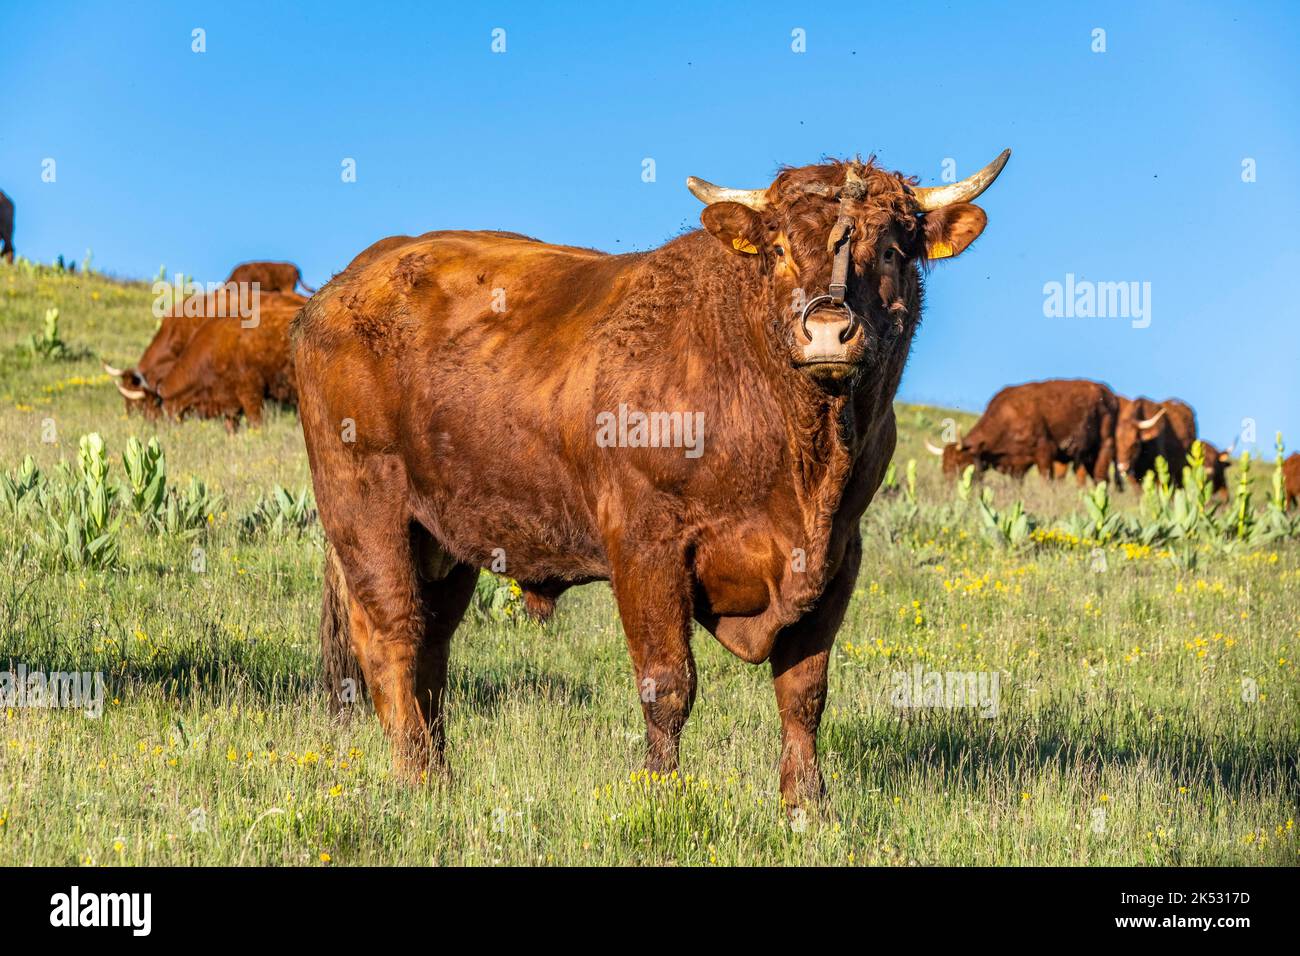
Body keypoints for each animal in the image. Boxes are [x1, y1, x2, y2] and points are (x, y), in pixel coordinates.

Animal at [291, 148, 1011, 808]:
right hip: (367, 513)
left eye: (890, 249)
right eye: (778, 248)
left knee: (433, 647)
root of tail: (340, 288)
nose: (829, 331)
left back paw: (443, 774)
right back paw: (418, 778)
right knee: (392, 636)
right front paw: (662, 794)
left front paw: (807, 806)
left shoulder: (837, 554)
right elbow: (668, 684)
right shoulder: (646, 545)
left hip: (444, 538)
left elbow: (804, 692)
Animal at [926, 379, 1118, 483]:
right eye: (944, 467)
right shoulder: (1017, 464)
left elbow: (1046, 480)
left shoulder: (1045, 451)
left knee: (1101, 478)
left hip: (1103, 448)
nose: (950, 487)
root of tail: (1109, 394)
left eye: (962, 464)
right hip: (1087, 456)